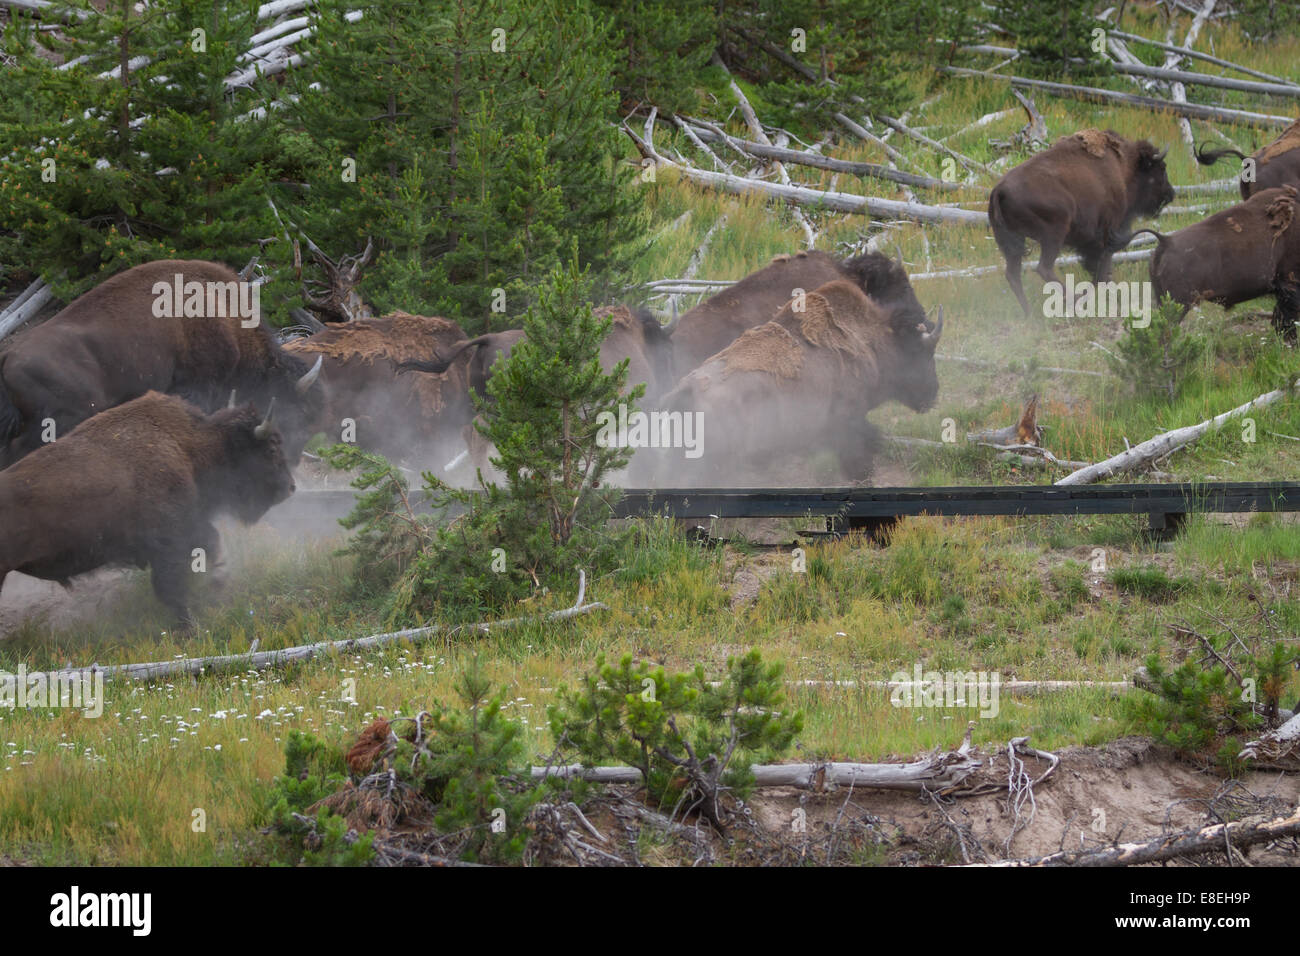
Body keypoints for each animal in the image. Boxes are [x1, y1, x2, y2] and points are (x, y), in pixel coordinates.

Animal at [0, 259, 324, 468]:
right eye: (299, 413)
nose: (292, 458)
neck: (226, 317)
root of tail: (8, 356)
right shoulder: (197, 389)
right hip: (61, 417)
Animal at [0, 391, 295, 626]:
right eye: (271, 448)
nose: (290, 487)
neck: (186, 446)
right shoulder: (172, 538)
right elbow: (174, 584)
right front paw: (193, 620)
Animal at [988, 129, 1175, 315]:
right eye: (1161, 168)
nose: (1171, 194)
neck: (1125, 168)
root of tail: (999, 191)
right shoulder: (1108, 233)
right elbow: (1103, 268)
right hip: (1053, 235)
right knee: (1043, 268)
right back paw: (1075, 299)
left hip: (1013, 241)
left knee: (1013, 275)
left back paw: (1030, 314)